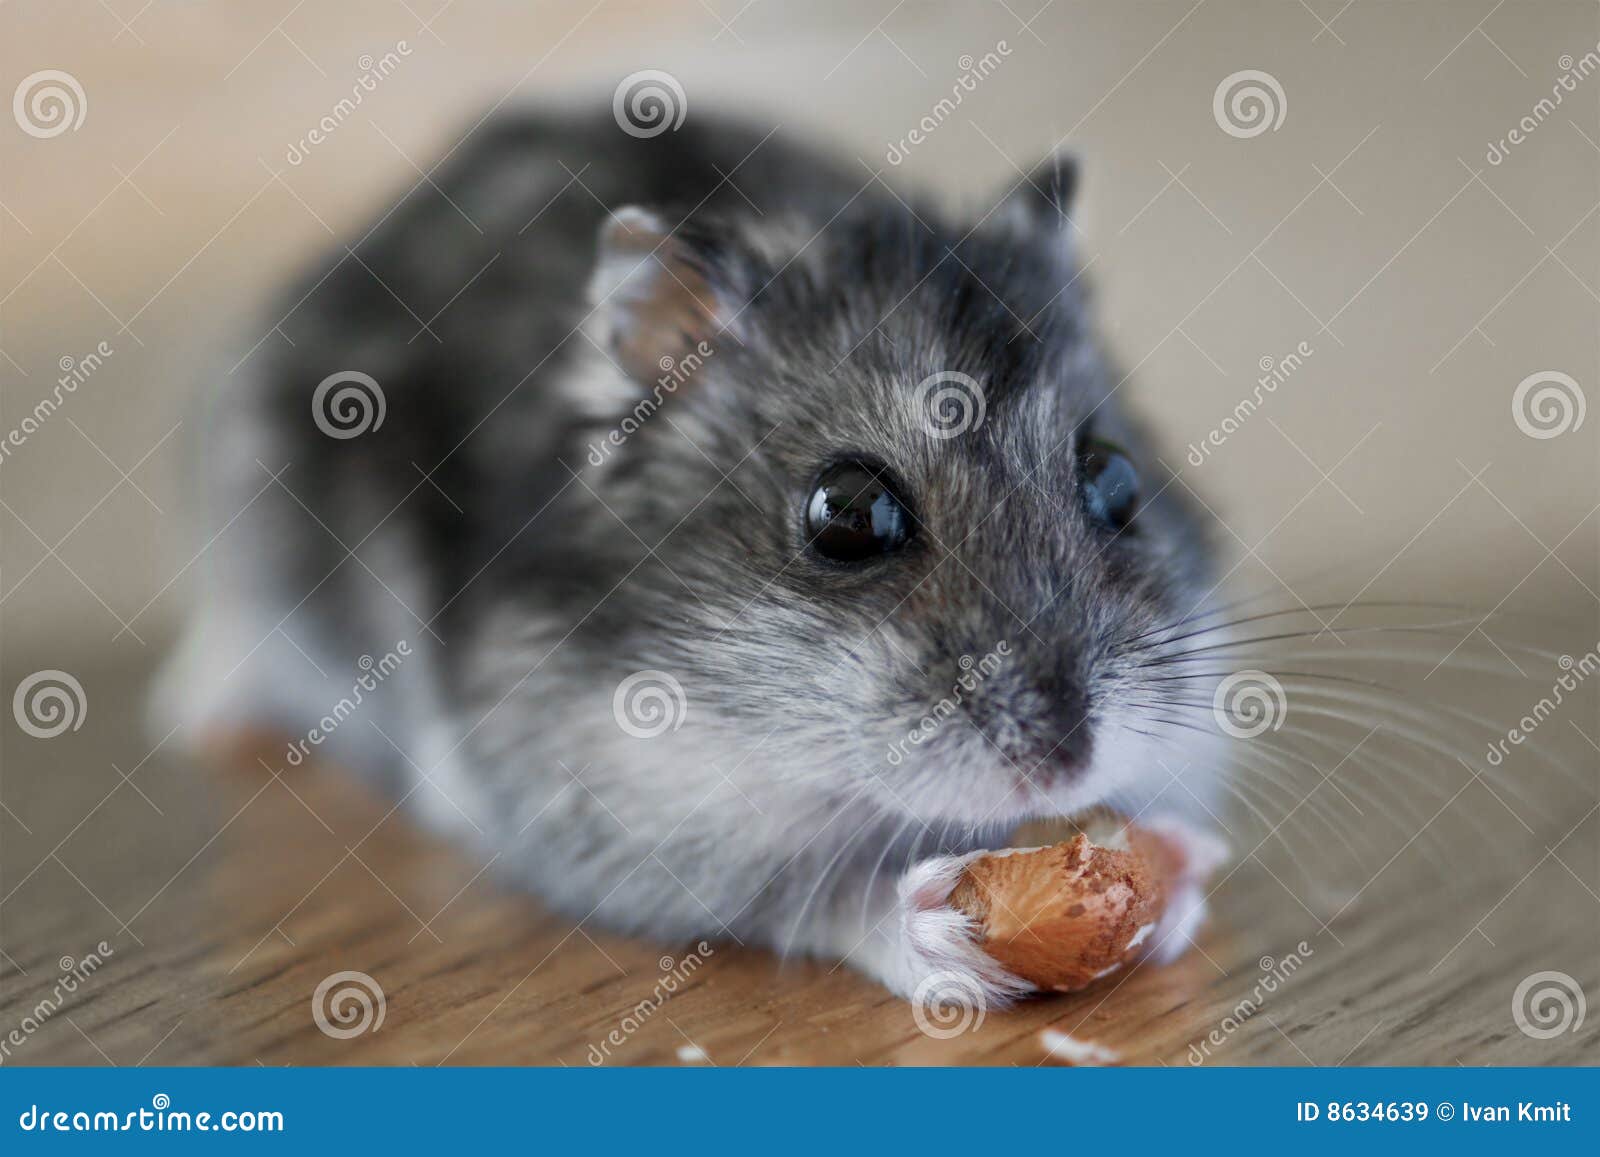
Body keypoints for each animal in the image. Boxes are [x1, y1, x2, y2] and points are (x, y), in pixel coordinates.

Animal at [158, 106, 1231, 1007]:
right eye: (849, 512)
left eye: (1115, 478)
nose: (1067, 765)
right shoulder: (606, 811)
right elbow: (813, 889)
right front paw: (939, 932)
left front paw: (1180, 868)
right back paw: (200, 716)